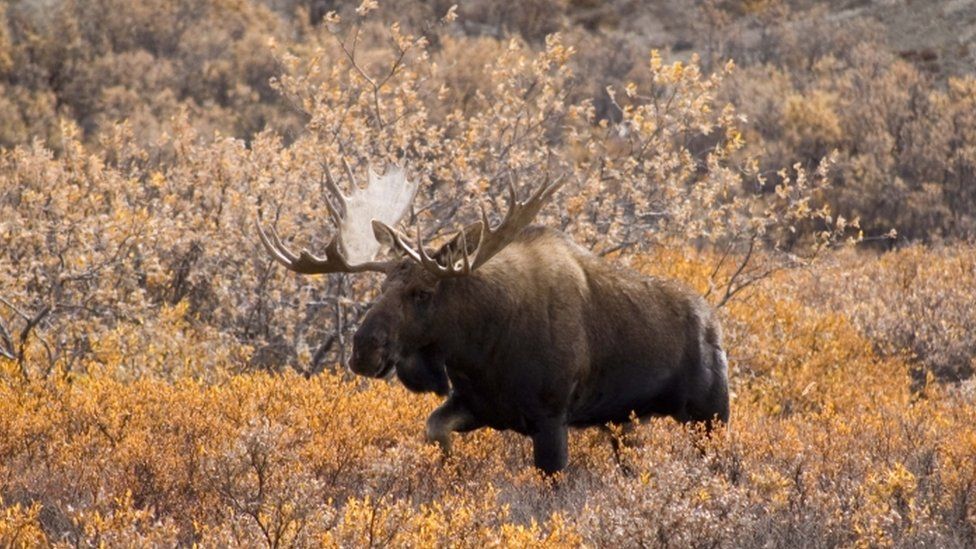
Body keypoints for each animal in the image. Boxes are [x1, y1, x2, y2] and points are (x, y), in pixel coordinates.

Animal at [257, 161, 730, 474]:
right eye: (380, 288)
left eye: (423, 292)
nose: (362, 351)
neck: (479, 348)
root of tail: (713, 322)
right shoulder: (478, 405)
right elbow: (435, 431)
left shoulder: (551, 418)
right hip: (625, 423)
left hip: (710, 414)